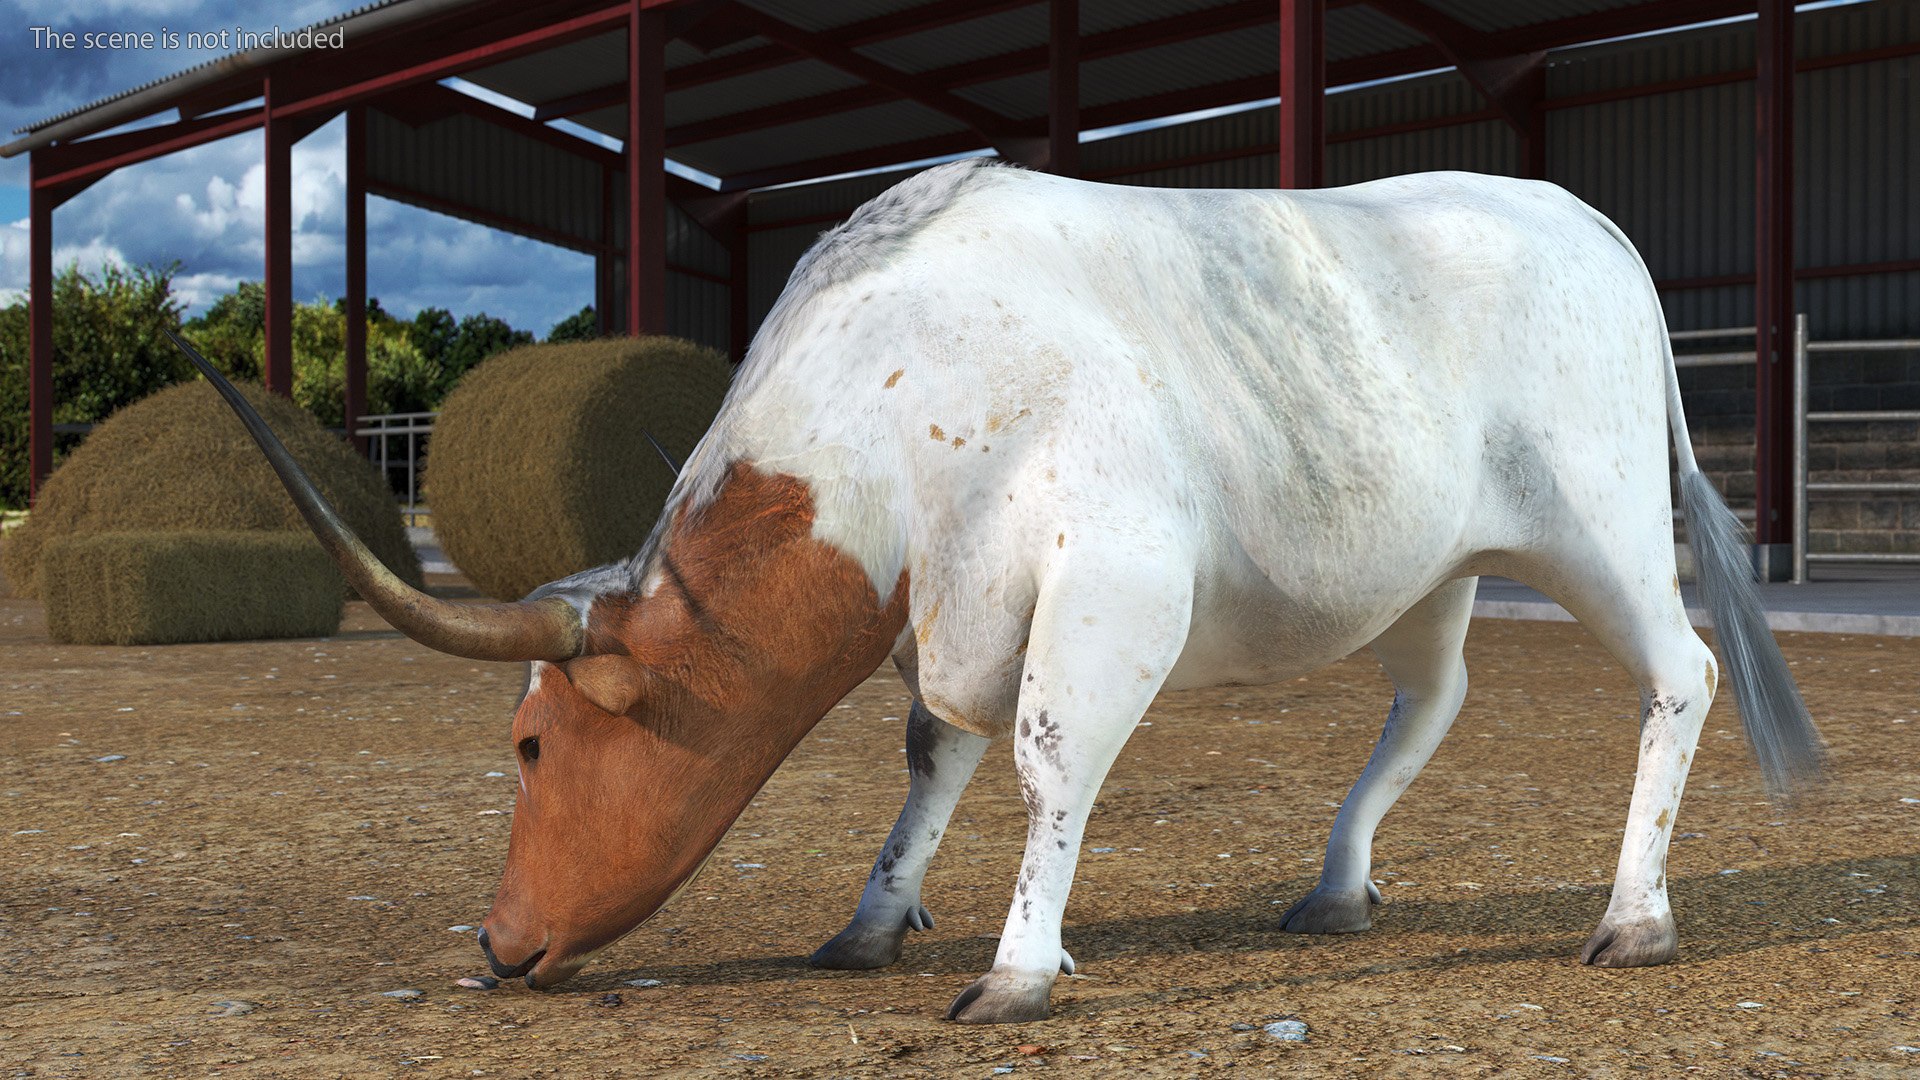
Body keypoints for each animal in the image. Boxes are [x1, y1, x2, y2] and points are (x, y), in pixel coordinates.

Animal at [170, 160, 1821, 1025]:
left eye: (527, 744)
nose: (496, 944)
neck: (896, 393)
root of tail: (1577, 209)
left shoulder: (1113, 587)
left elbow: (1044, 760)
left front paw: (1019, 967)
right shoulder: (953, 608)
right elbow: (935, 755)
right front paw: (874, 917)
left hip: (1599, 529)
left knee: (1680, 675)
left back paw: (1632, 915)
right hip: (1433, 566)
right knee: (1432, 699)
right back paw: (1340, 886)